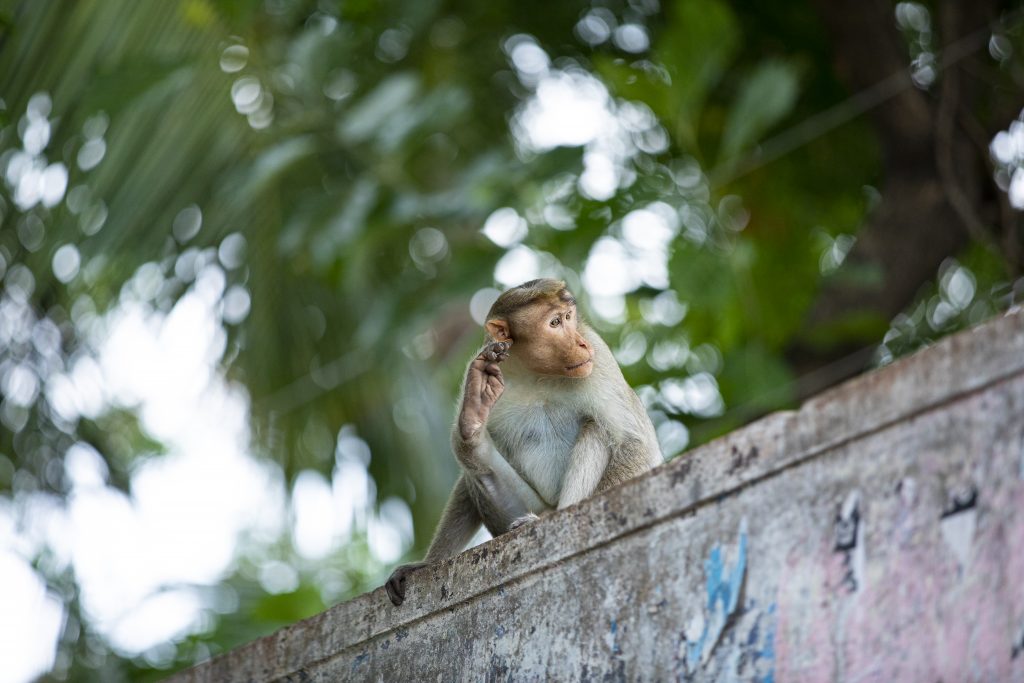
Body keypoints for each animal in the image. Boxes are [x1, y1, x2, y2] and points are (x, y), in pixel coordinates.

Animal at [385, 279, 662, 606]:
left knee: (596, 429)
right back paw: (471, 427)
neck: (535, 373)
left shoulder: (600, 359)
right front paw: (425, 565)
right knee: (473, 466)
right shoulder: (481, 360)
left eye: (569, 317)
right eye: (554, 323)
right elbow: (465, 485)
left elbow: (635, 442)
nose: (580, 343)